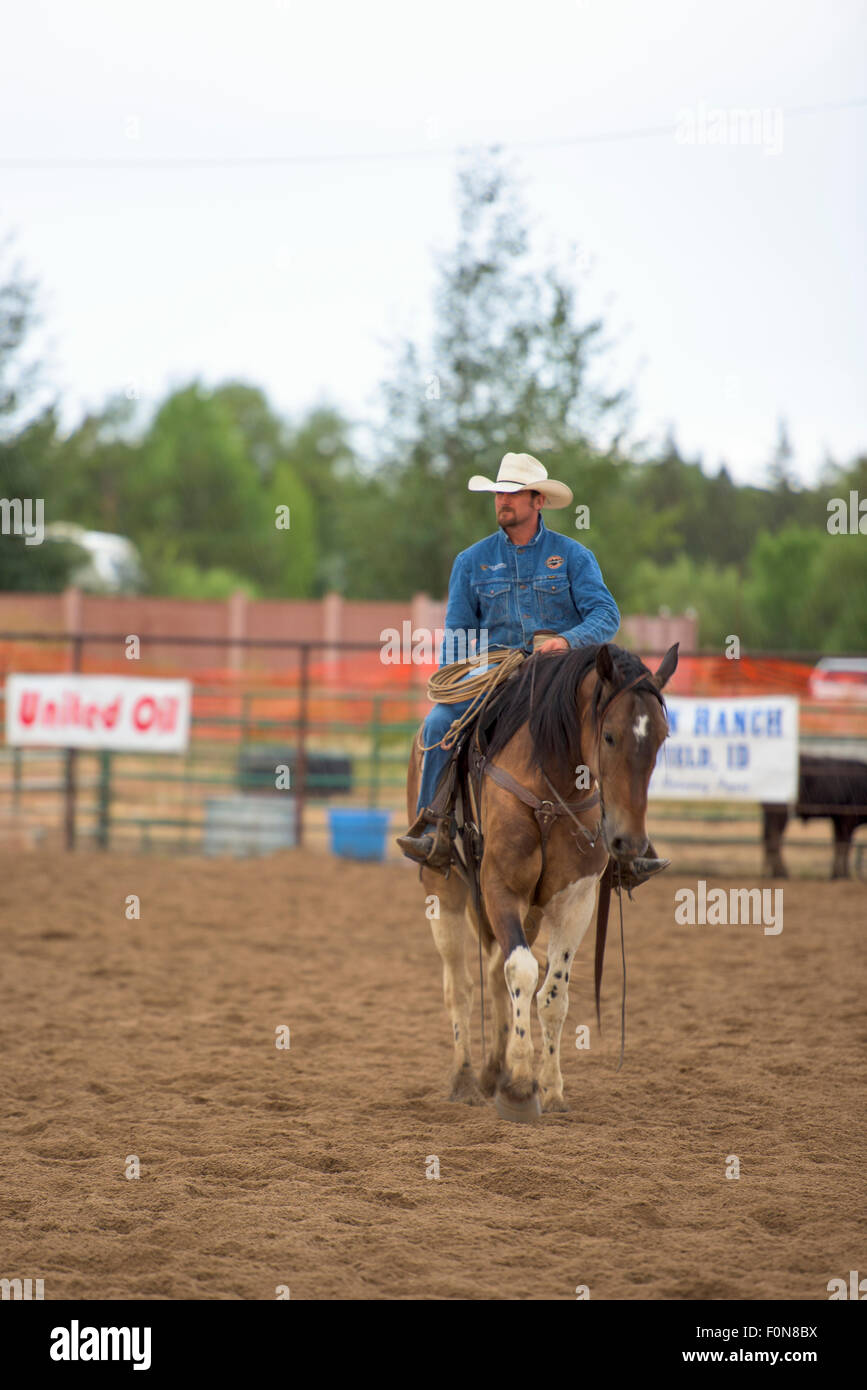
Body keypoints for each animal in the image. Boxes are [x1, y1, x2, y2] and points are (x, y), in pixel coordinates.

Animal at [406, 640, 679, 1123]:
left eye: (662, 737)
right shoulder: (500, 886)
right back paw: (465, 1079)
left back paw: (493, 1070)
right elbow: (523, 970)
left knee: (495, 975)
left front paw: (549, 1090)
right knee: (460, 984)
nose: (628, 841)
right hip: (445, 890)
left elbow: (552, 993)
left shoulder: (577, 900)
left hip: (528, 913)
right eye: (609, 735)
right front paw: (519, 1087)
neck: (552, 791)